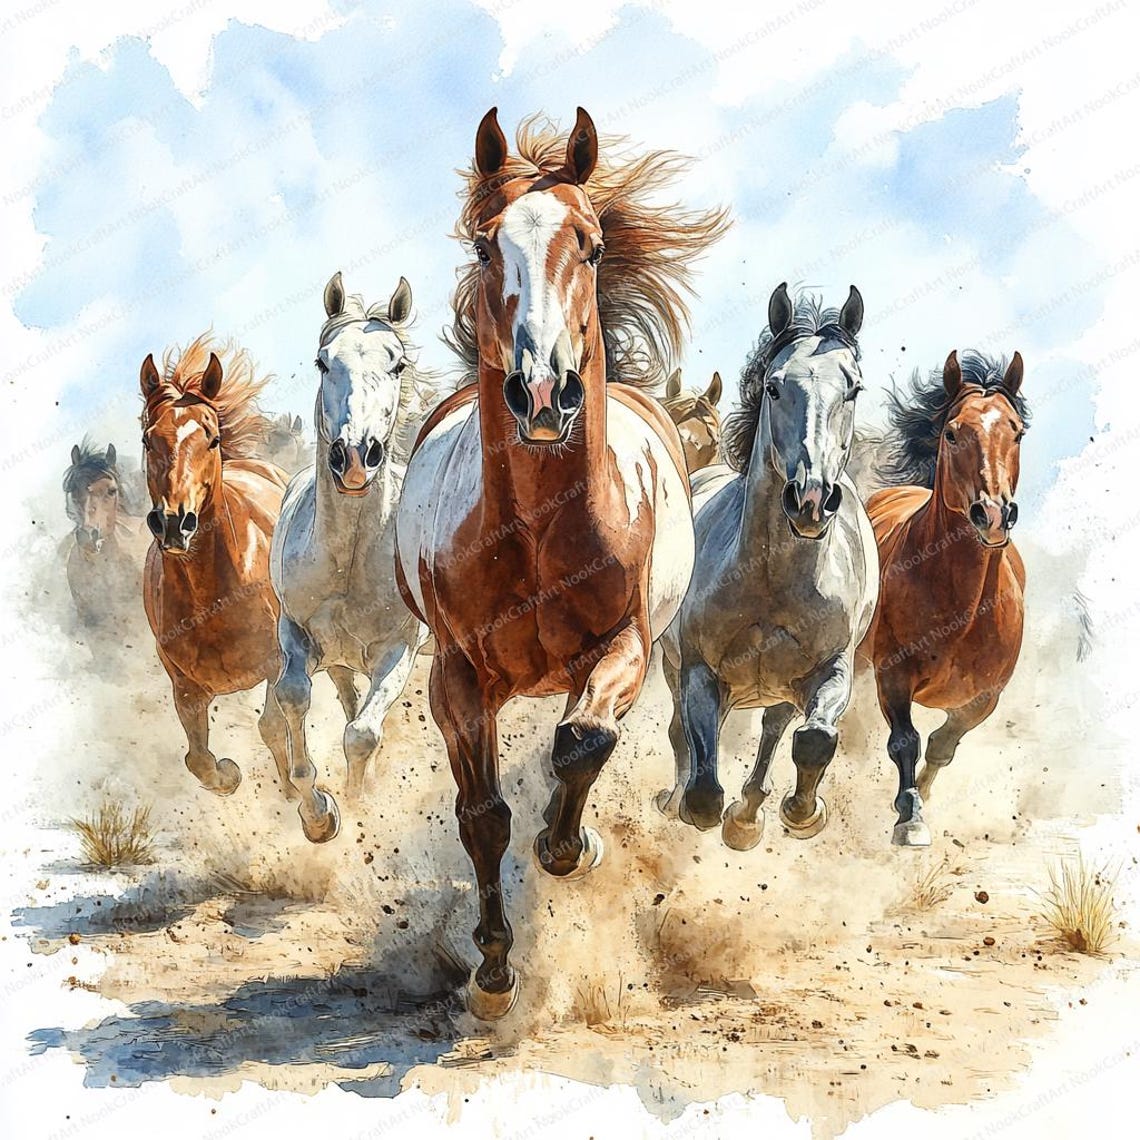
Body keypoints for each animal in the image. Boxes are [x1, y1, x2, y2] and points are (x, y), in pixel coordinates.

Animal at [140, 335, 290, 800]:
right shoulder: (187, 691)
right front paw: (229, 774)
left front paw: (315, 807)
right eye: (149, 439)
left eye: (211, 437)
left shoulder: (278, 663)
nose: (174, 522)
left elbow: (273, 724)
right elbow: (199, 760)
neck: (211, 598)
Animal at [269, 273, 430, 843]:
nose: (356, 456)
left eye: (397, 364)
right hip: (338, 660)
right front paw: (318, 812)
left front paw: (360, 803)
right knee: (342, 697)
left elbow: (363, 733)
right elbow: (294, 695)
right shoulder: (296, 633)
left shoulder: (399, 650)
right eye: (322, 362)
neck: (350, 563)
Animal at [395, 107, 728, 1018]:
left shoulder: (627, 647)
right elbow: (481, 816)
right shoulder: (456, 675)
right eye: (485, 247)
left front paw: (571, 846)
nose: (544, 393)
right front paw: (493, 972)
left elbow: (582, 740)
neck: (540, 533)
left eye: (592, 245)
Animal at [657, 283, 879, 851]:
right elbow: (702, 786)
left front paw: (801, 811)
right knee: (684, 737)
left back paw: (748, 815)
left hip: (780, 690)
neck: (771, 582)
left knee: (776, 729)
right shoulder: (698, 670)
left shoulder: (833, 668)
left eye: (854, 389)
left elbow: (815, 738)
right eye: (775, 387)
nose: (811, 500)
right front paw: (689, 803)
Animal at [859, 350, 1028, 846]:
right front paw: (910, 819)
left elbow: (942, 745)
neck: (965, 611)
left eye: (1016, 431)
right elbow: (906, 741)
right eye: (952, 432)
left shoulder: (982, 699)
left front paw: (918, 800)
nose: (993, 514)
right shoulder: (892, 676)